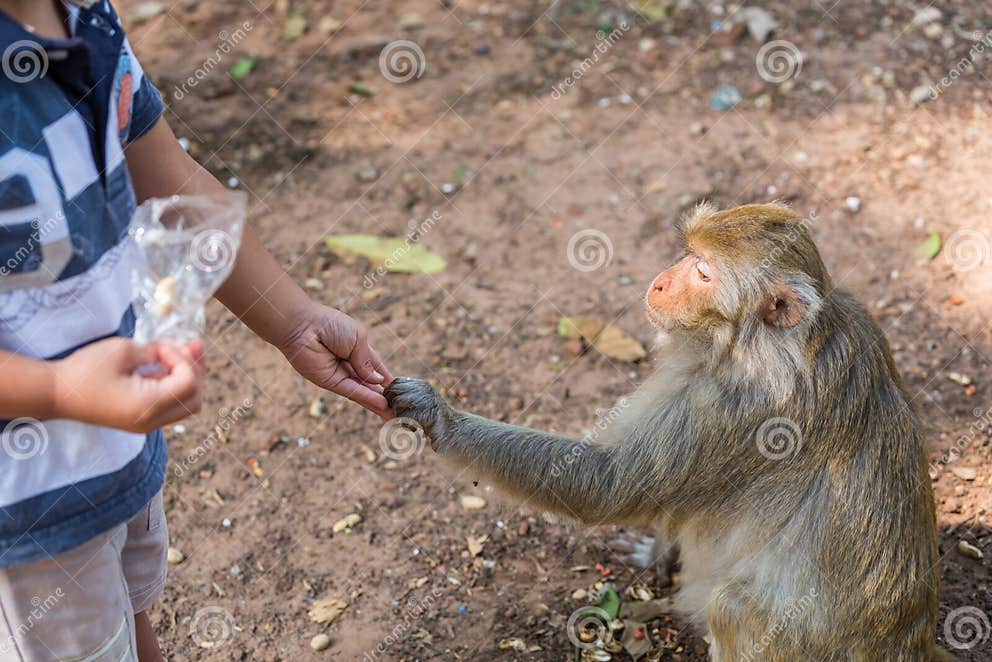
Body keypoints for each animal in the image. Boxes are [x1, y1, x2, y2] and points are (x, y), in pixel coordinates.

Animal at [385, 202, 953, 661]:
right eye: (687, 254)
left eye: (702, 272)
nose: (660, 281)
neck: (762, 342)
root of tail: (910, 647)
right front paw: (657, 554)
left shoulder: (736, 405)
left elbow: (609, 485)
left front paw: (442, 419)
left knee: (732, 607)